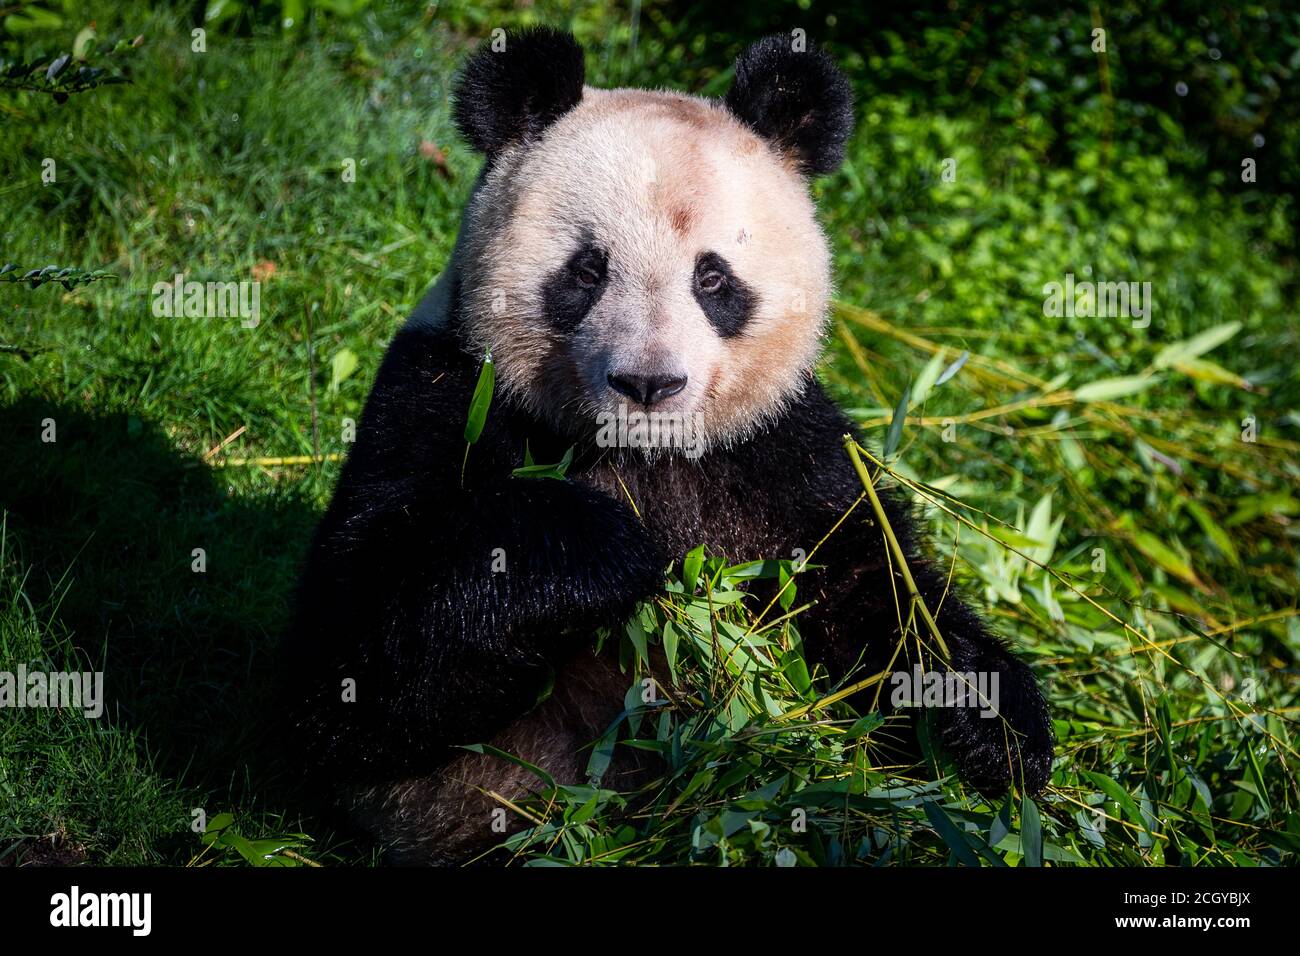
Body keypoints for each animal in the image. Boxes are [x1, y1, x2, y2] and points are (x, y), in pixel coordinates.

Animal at [282, 27, 1054, 865]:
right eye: (587, 270)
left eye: (712, 279)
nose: (648, 384)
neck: (642, 455)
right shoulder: (442, 394)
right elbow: (347, 674)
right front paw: (602, 548)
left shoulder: (780, 447)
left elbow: (873, 591)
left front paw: (993, 728)